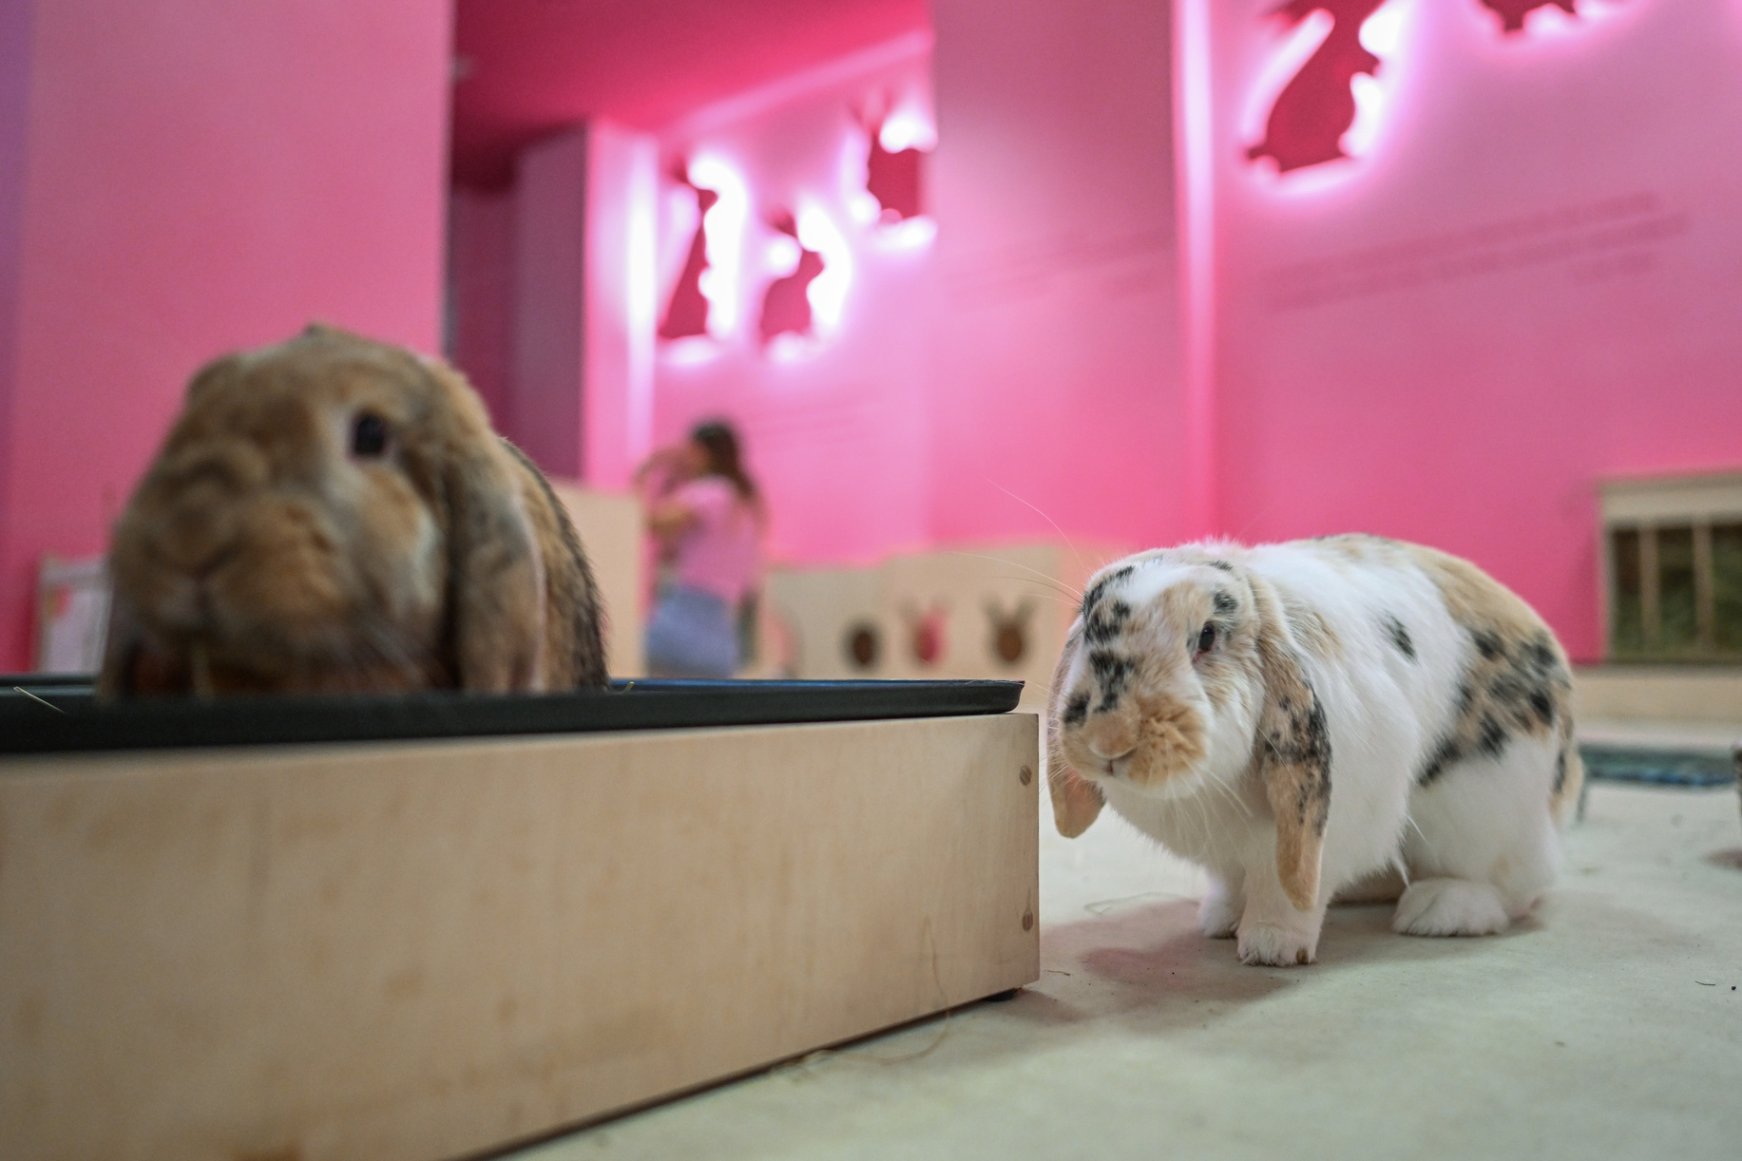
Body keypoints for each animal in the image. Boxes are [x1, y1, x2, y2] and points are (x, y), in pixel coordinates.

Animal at [1046, 535, 1583, 967]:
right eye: (1088, 624)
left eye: (1207, 636)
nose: (1109, 739)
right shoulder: (1230, 859)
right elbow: (1234, 884)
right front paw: (1220, 920)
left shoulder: (1314, 835)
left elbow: (1284, 895)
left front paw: (1270, 947)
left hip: (1485, 817)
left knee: (1515, 886)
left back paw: (1440, 911)